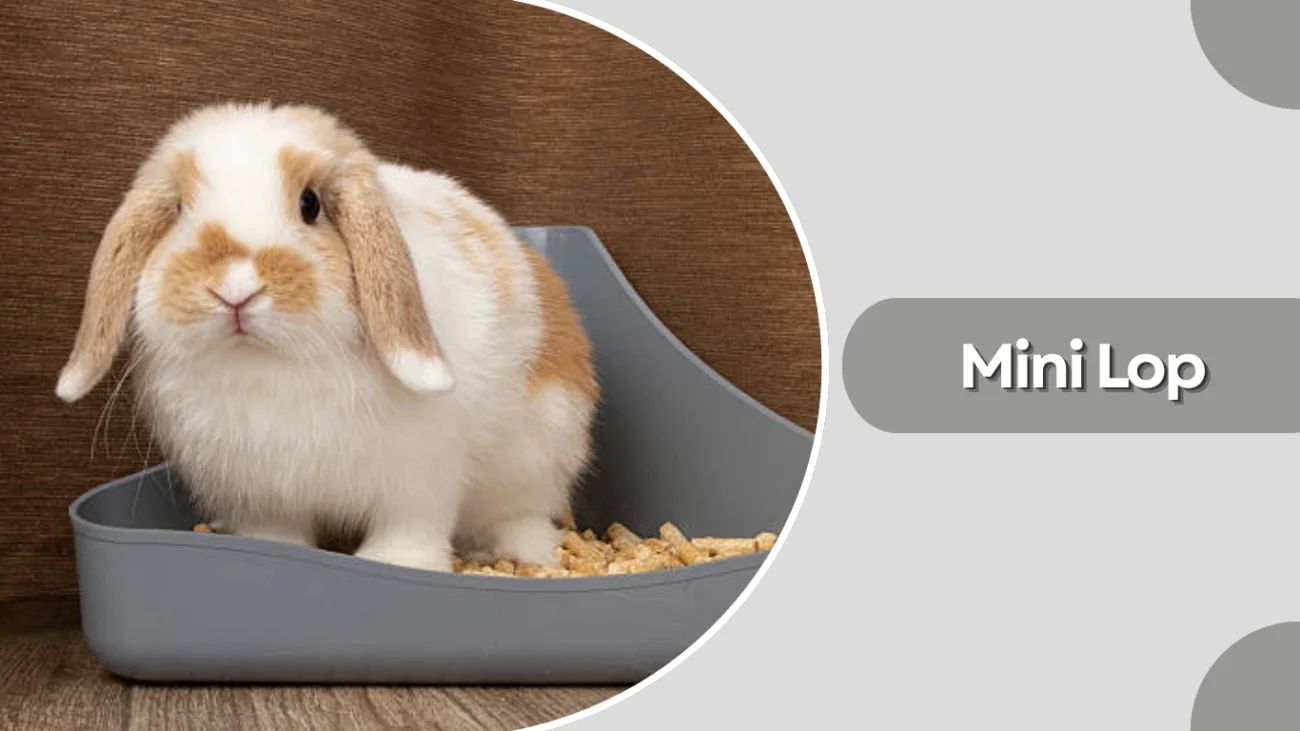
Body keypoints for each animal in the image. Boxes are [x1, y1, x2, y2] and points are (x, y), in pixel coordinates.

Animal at [55, 102, 599, 573]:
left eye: (310, 204)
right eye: (179, 207)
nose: (236, 290)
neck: (267, 363)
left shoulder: (419, 477)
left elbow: (411, 527)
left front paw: (398, 564)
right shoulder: (261, 491)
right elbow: (276, 533)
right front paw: (269, 551)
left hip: (537, 455)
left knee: (519, 515)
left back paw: (531, 557)